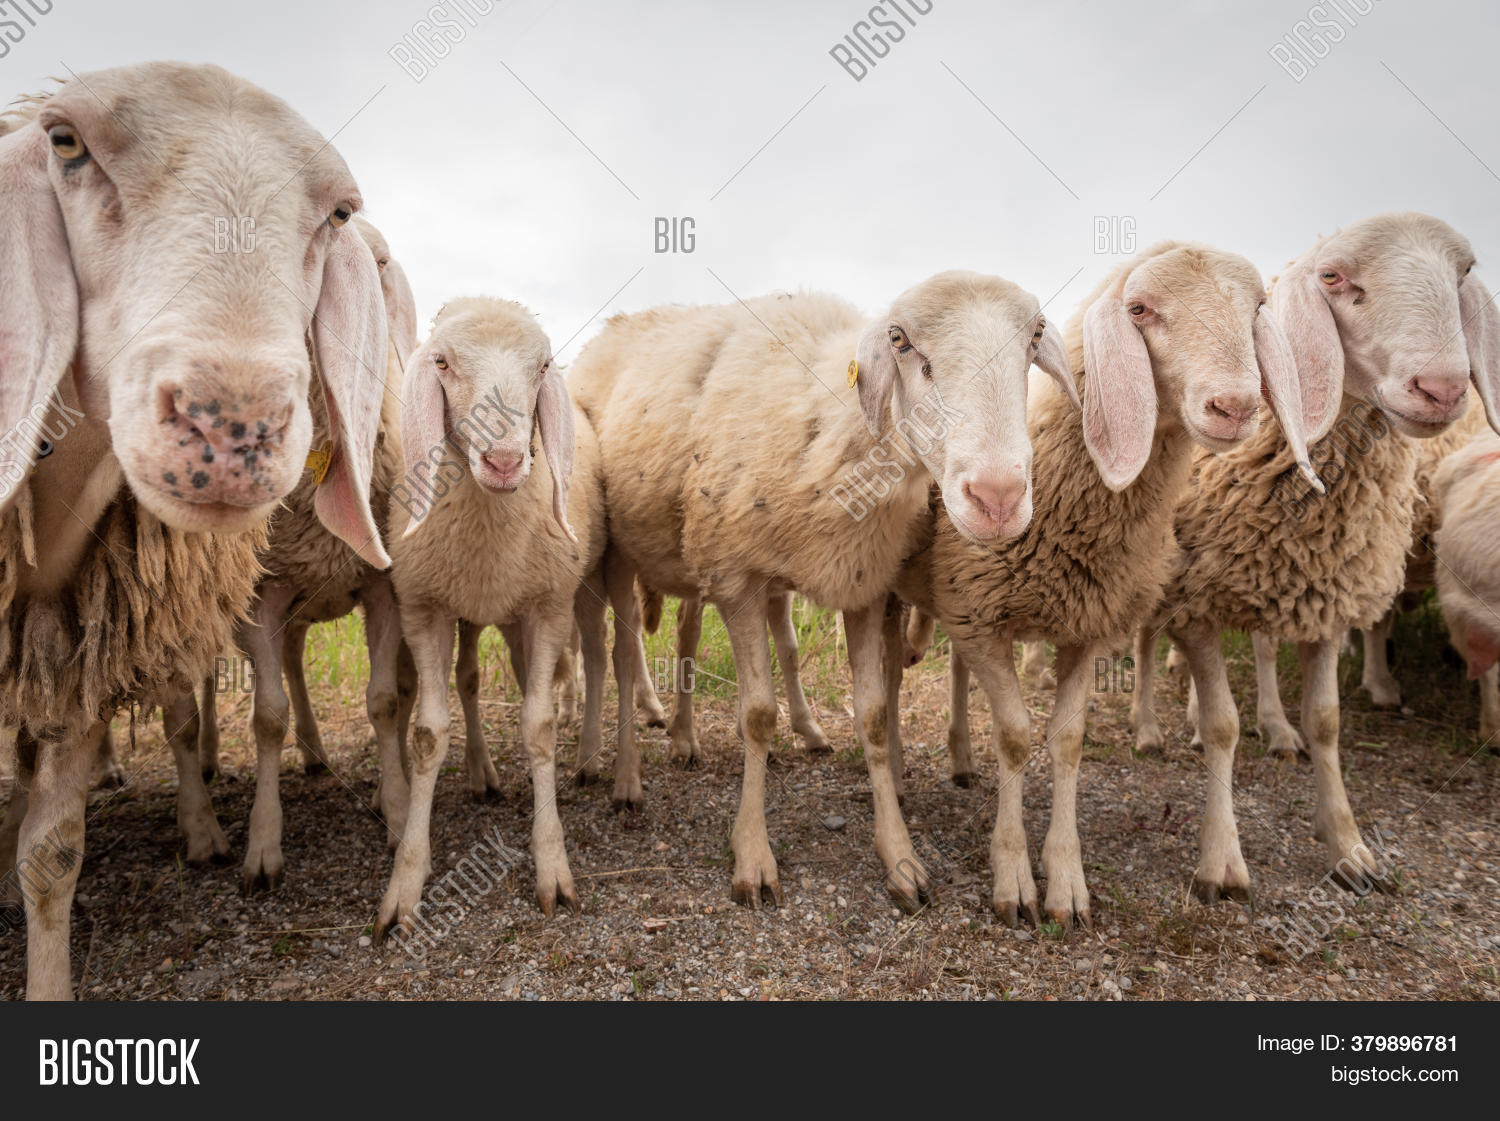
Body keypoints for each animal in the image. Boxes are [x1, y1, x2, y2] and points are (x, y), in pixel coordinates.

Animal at [0, 62, 390, 999]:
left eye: (337, 213)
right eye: (64, 142)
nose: (233, 424)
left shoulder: (83, 643)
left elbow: (53, 848)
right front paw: (244, 841)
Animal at [377, 296, 606, 935]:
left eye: (544, 365)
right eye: (442, 363)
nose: (504, 461)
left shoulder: (548, 605)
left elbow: (539, 725)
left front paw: (551, 862)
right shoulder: (421, 607)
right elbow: (428, 734)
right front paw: (406, 882)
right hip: (471, 609)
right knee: (470, 681)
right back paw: (481, 773)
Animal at [568, 273, 1081, 909]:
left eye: (1035, 337)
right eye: (899, 340)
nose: (997, 498)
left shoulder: (863, 583)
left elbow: (875, 718)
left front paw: (900, 856)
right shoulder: (736, 576)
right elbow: (756, 714)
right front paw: (753, 856)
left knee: (683, 637)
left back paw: (685, 738)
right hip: (614, 550)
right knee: (616, 652)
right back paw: (620, 775)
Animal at [893, 243, 1316, 927]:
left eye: (1257, 307)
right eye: (1140, 309)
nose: (1235, 408)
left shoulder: (1084, 626)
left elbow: (1067, 741)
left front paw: (1065, 880)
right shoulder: (981, 614)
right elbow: (1014, 735)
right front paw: (1013, 876)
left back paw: (959, 760)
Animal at [1130, 212, 1500, 902]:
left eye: (1464, 272)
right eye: (1332, 277)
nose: (1440, 390)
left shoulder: (1323, 596)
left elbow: (1326, 721)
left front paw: (1348, 846)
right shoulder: (1194, 598)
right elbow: (1223, 727)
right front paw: (1222, 860)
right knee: (1145, 645)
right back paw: (1147, 727)